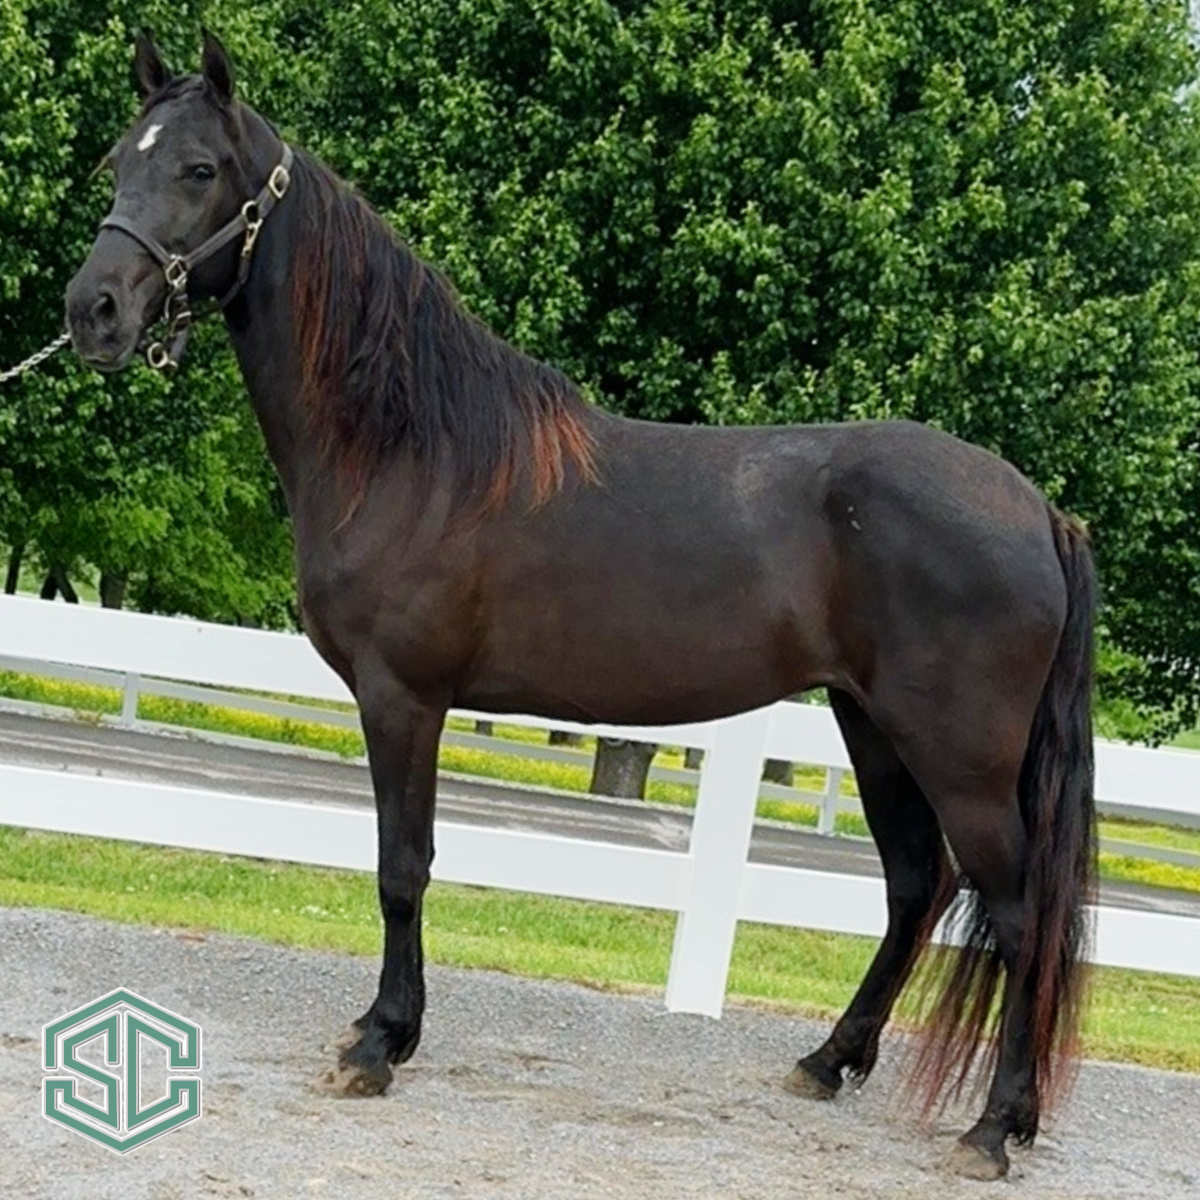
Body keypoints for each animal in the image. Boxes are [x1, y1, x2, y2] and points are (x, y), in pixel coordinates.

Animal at [65, 33, 1097, 1181]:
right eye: (118, 160)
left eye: (199, 169)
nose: (92, 311)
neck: (412, 452)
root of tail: (1040, 511)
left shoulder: (402, 698)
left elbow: (401, 865)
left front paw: (380, 1042)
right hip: (871, 726)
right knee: (916, 886)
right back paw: (831, 1062)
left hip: (958, 757)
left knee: (1017, 915)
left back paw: (994, 1127)